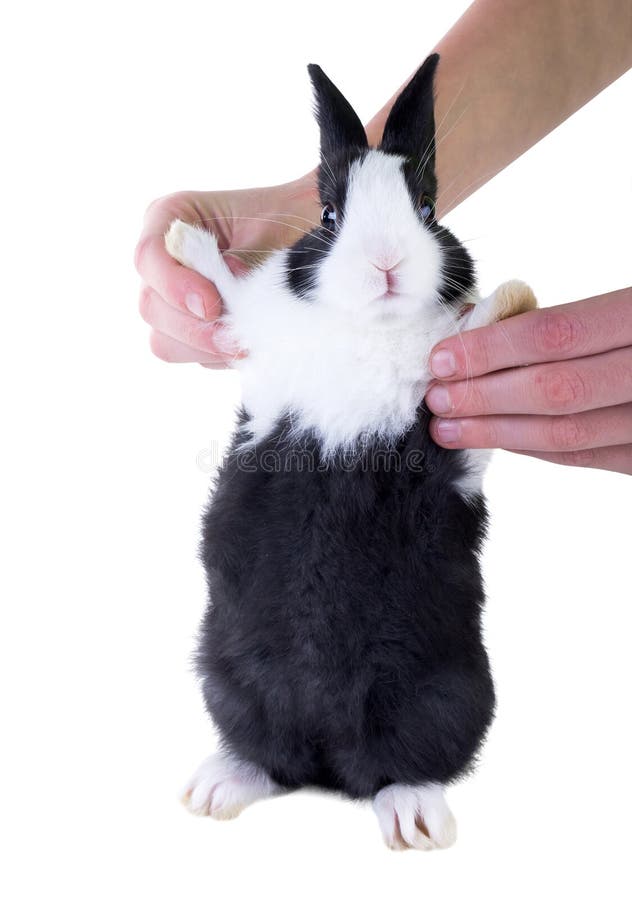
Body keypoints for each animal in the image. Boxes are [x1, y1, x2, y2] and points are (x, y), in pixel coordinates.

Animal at [165, 53, 537, 851]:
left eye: (426, 209)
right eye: (330, 217)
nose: (386, 263)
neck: (369, 328)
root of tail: (330, 757)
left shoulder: (451, 444)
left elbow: (463, 354)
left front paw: (514, 300)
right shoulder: (264, 358)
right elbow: (228, 296)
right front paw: (185, 240)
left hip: (447, 698)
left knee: (402, 765)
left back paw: (415, 816)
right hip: (228, 682)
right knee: (272, 759)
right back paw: (217, 787)